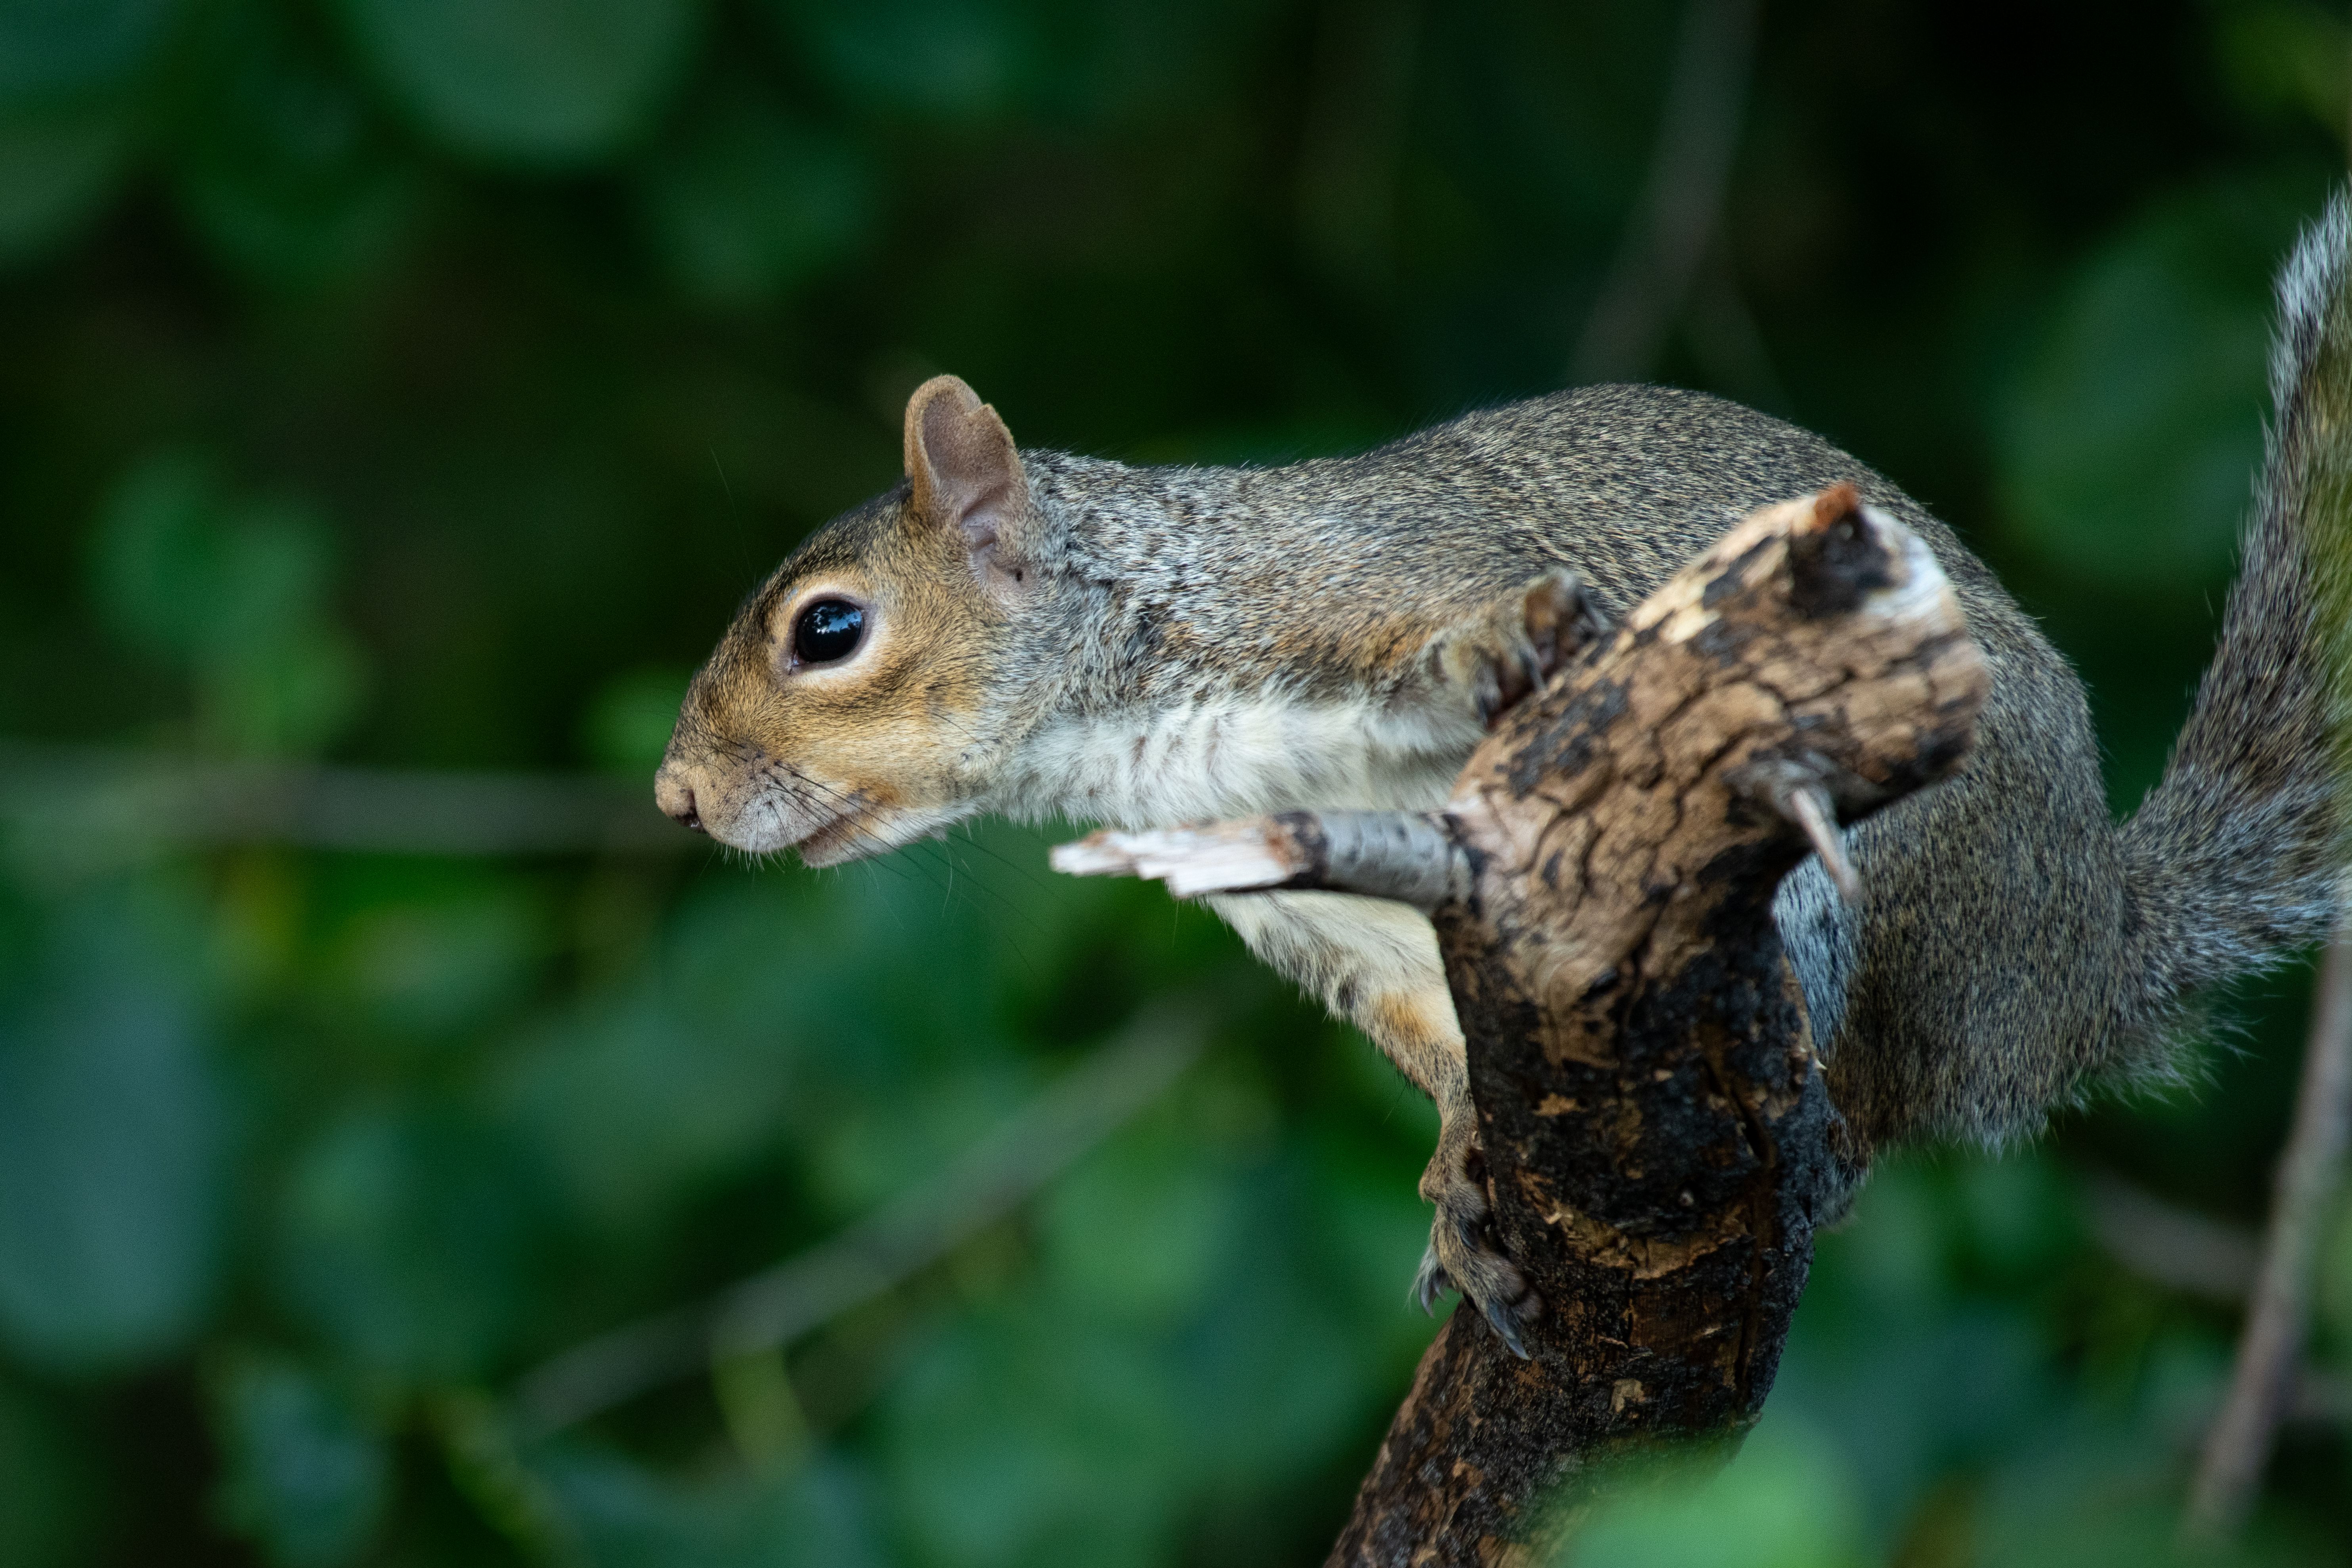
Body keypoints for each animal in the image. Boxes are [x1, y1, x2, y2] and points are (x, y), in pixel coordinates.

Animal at [656, 197, 2352, 1353]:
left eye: (828, 630)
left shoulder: (1372, 590)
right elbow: (1439, 1051)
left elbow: (1483, 623)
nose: (674, 797)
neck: (1142, 693)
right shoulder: (1327, 912)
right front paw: (1456, 1181)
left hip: (1892, 888)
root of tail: (2075, 968)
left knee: (1864, 1099)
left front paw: (1490, 654)